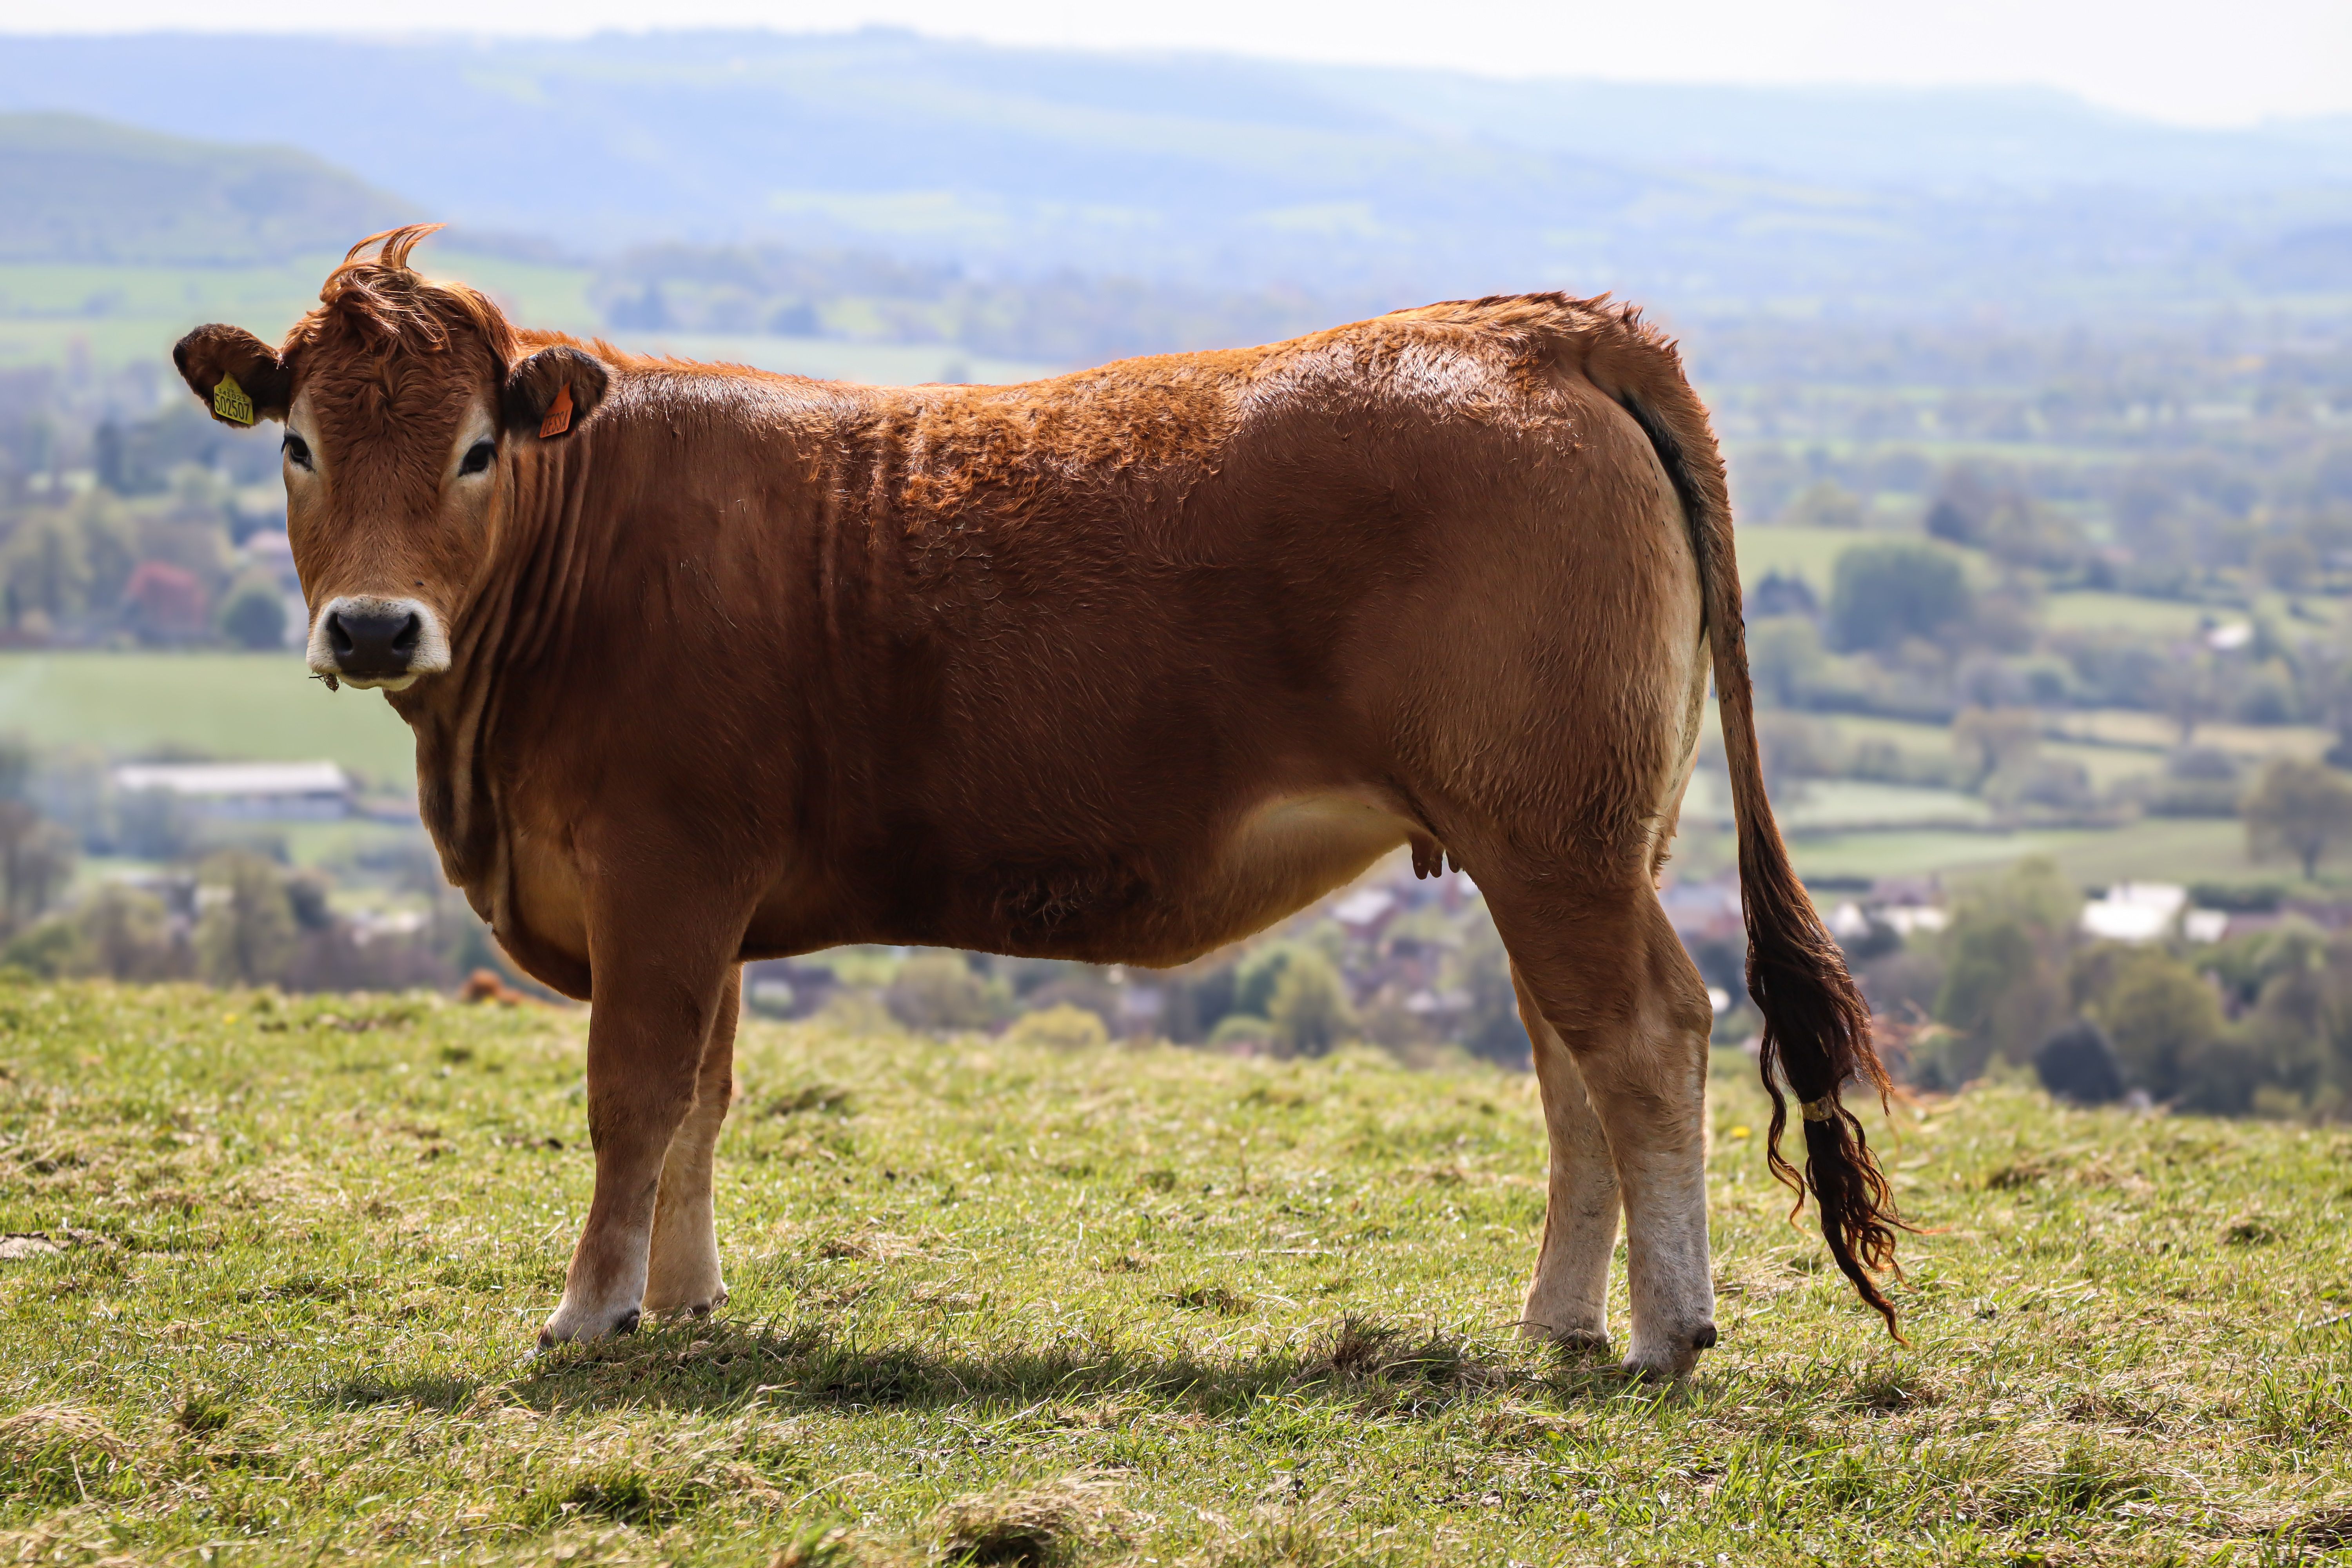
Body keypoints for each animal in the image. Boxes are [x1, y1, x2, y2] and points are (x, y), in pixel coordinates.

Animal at [173, 226, 1903, 1378]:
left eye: (476, 450)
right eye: (300, 444)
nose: (373, 627)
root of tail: (1539, 324)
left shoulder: (660, 874)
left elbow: (633, 1097)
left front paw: (591, 1309)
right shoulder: (703, 896)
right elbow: (705, 1101)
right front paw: (683, 1300)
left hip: (1559, 837)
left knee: (1646, 1034)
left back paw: (1668, 1329)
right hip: (1563, 838)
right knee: (1570, 1060)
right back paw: (1556, 1322)